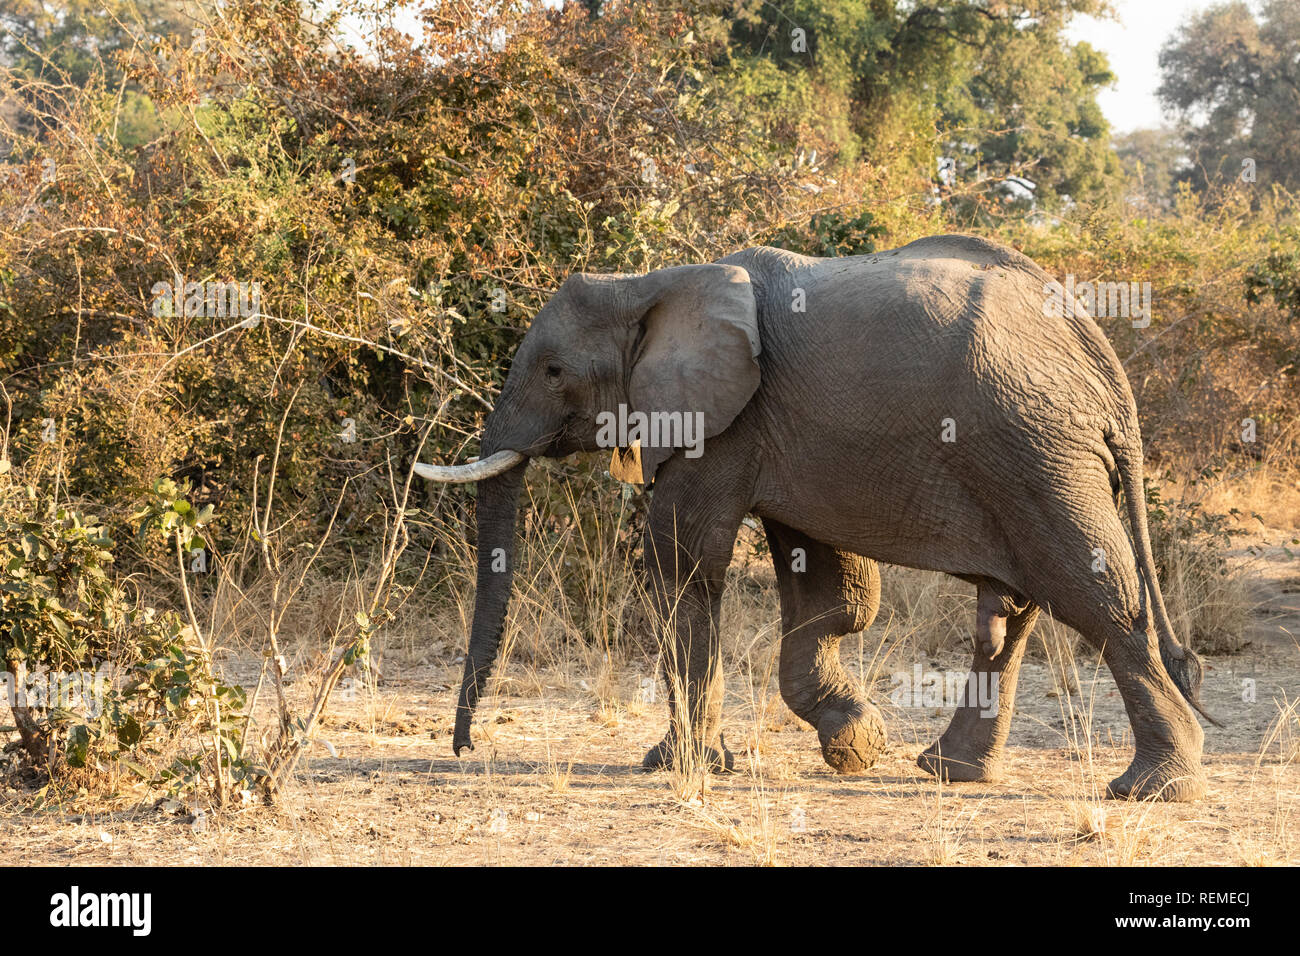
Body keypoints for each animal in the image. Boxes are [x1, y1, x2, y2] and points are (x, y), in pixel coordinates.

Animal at [417, 234, 1214, 802]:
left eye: (554, 372)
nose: (465, 748)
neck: (650, 282)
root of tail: (1102, 359)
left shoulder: (728, 422)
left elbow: (682, 561)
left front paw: (677, 765)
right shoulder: (788, 436)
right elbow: (833, 591)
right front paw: (855, 745)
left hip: (1036, 449)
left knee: (1096, 598)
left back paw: (1151, 789)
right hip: (1030, 454)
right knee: (1016, 607)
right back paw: (948, 771)